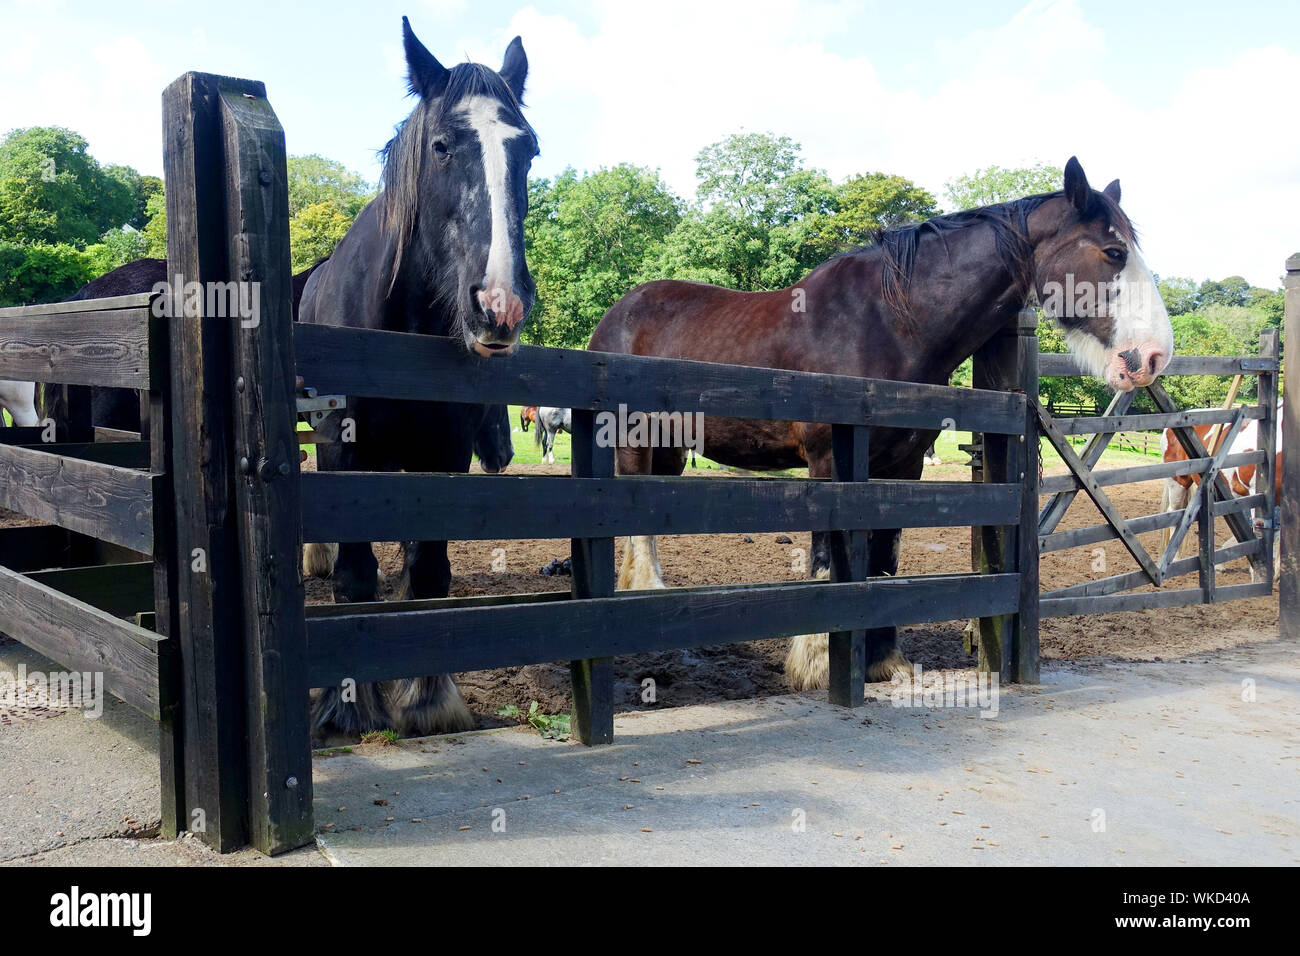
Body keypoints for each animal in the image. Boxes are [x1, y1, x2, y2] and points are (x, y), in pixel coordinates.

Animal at [299, 17, 537, 738]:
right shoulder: (341, 448)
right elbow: (355, 576)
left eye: (529, 151)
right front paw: (346, 704)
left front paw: (429, 699)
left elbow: (428, 571)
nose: (498, 302)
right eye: (441, 146)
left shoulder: (444, 452)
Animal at [587, 157, 1173, 691]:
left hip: (669, 447)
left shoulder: (904, 463)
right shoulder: (830, 461)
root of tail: (616, 315)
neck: (889, 323)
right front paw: (818, 663)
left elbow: (885, 556)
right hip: (634, 442)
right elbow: (829, 555)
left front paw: (884, 661)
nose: (1153, 357)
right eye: (1114, 252)